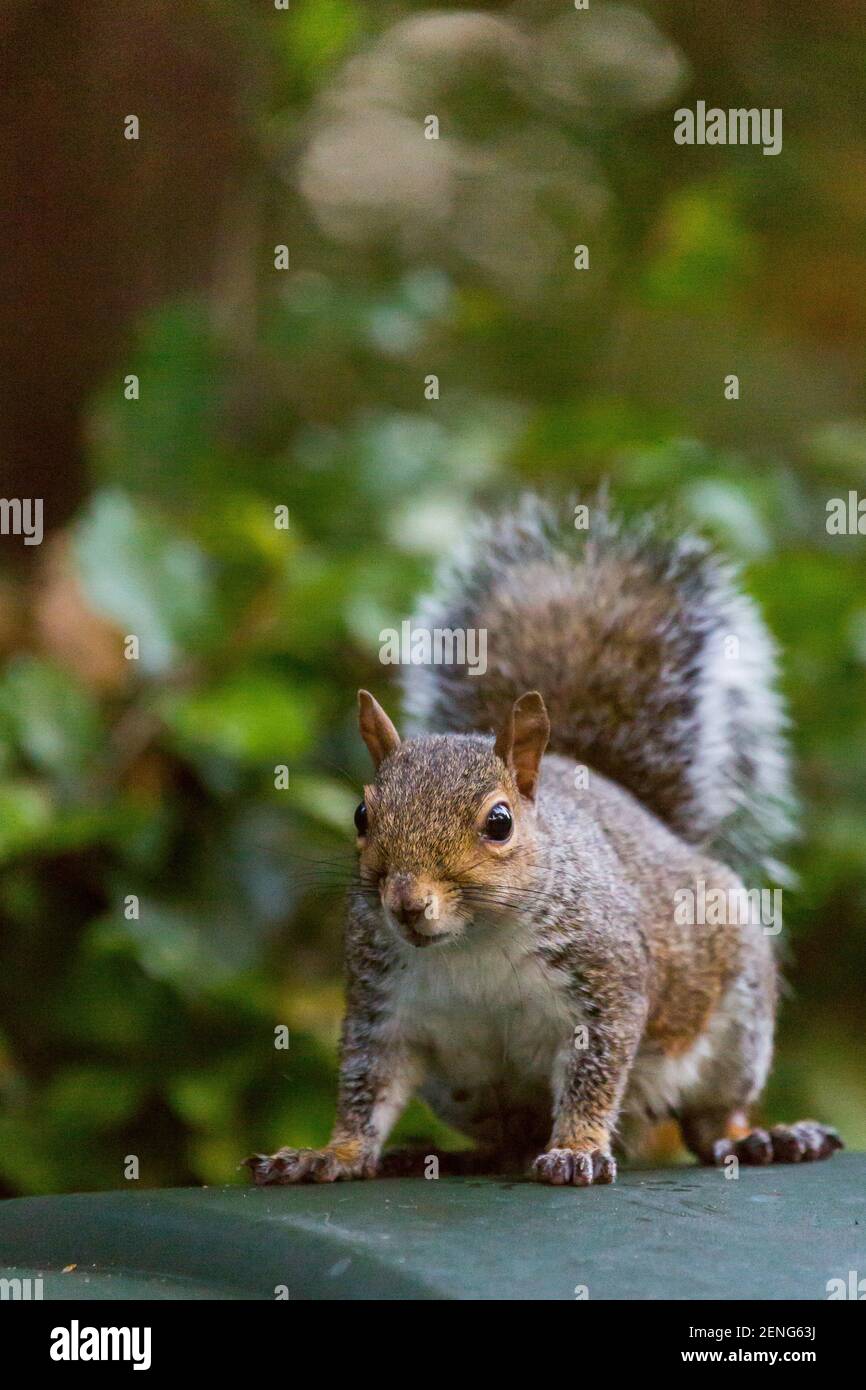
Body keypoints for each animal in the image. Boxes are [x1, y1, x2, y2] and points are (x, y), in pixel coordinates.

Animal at [248, 496, 842, 1187]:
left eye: (499, 822)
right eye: (361, 815)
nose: (407, 904)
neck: (471, 944)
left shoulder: (606, 980)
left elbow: (596, 1075)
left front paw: (578, 1148)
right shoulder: (382, 1003)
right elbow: (365, 1089)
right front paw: (331, 1154)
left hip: (735, 1023)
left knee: (710, 1120)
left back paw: (762, 1137)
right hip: (469, 1093)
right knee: (504, 1144)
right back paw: (445, 1156)